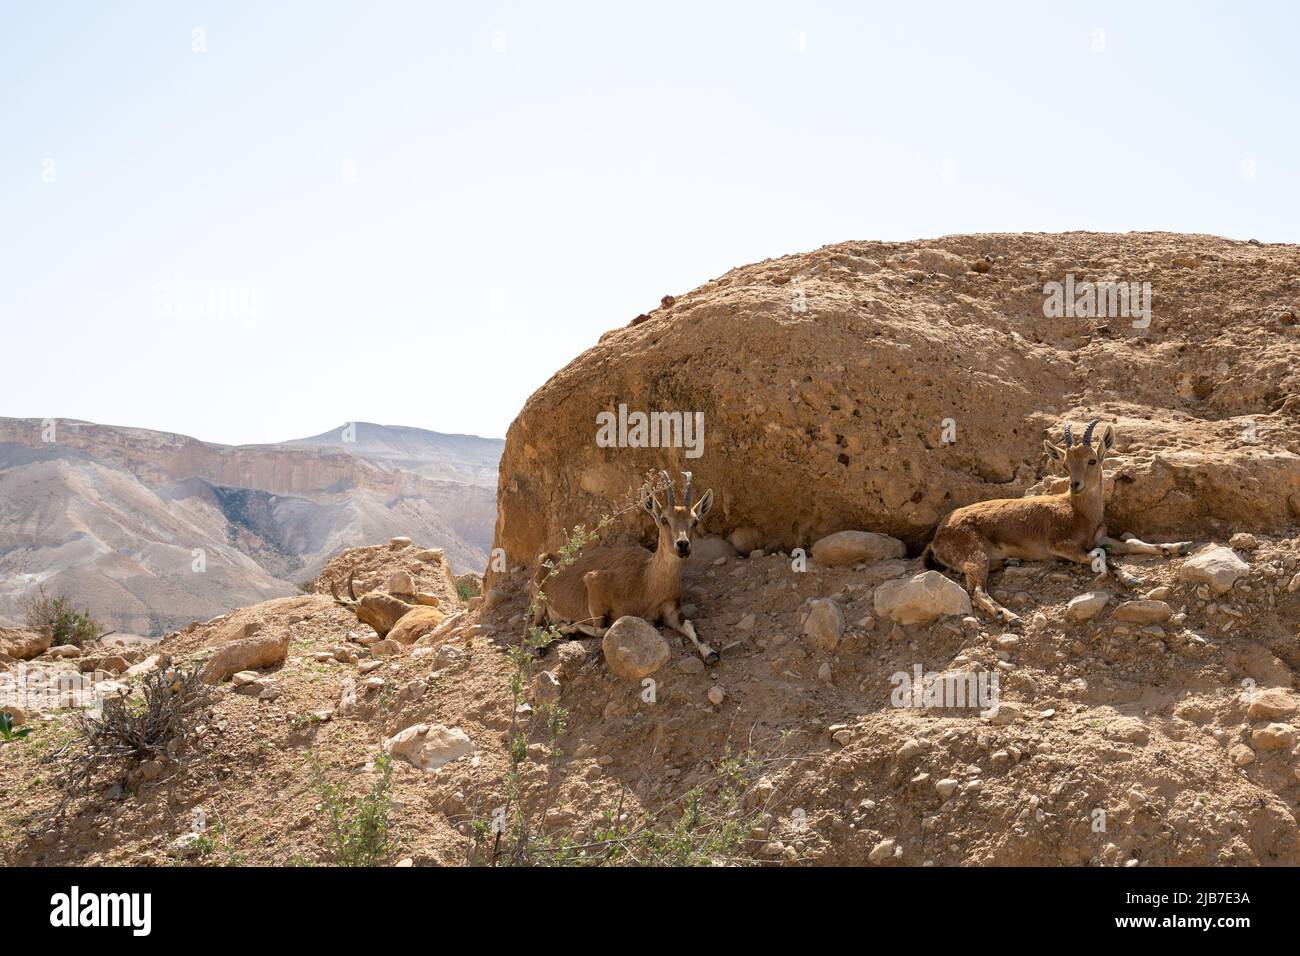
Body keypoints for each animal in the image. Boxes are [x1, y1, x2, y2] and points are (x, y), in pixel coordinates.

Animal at [530, 470, 719, 663]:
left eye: (695, 522)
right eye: (664, 519)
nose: (682, 544)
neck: (647, 582)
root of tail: (552, 557)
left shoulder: (670, 608)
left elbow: (689, 625)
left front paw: (710, 652)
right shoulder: (593, 581)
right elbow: (602, 628)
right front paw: (570, 627)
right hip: (538, 597)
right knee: (537, 624)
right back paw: (545, 643)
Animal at [923, 420, 1192, 624]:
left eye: (1092, 460)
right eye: (1065, 464)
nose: (1075, 484)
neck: (1079, 513)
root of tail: (937, 537)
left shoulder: (1100, 536)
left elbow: (1132, 543)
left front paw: (1177, 547)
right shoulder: (1060, 545)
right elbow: (1098, 555)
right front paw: (1124, 576)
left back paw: (1012, 561)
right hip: (975, 555)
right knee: (976, 591)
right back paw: (1008, 615)